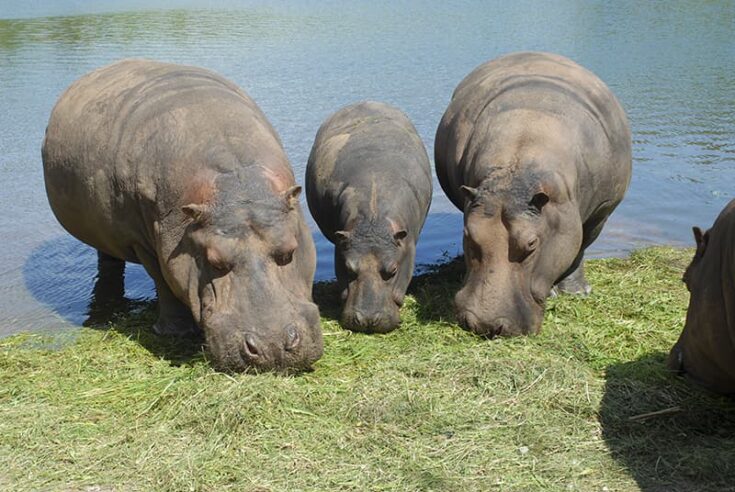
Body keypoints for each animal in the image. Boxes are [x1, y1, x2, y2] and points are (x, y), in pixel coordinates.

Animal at [42, 59, 323, 372]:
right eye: (214, 261)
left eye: (289, 251)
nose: (270, 347)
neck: (236, 187)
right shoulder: (144, 241)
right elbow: (163, 281)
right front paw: (176, 332)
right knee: (109, 258)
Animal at [435, 52, 632, 337]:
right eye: (469, 235)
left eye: (531, 244)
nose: (485, 324)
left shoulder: (600, 212)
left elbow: (580, 248)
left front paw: (575, 292)